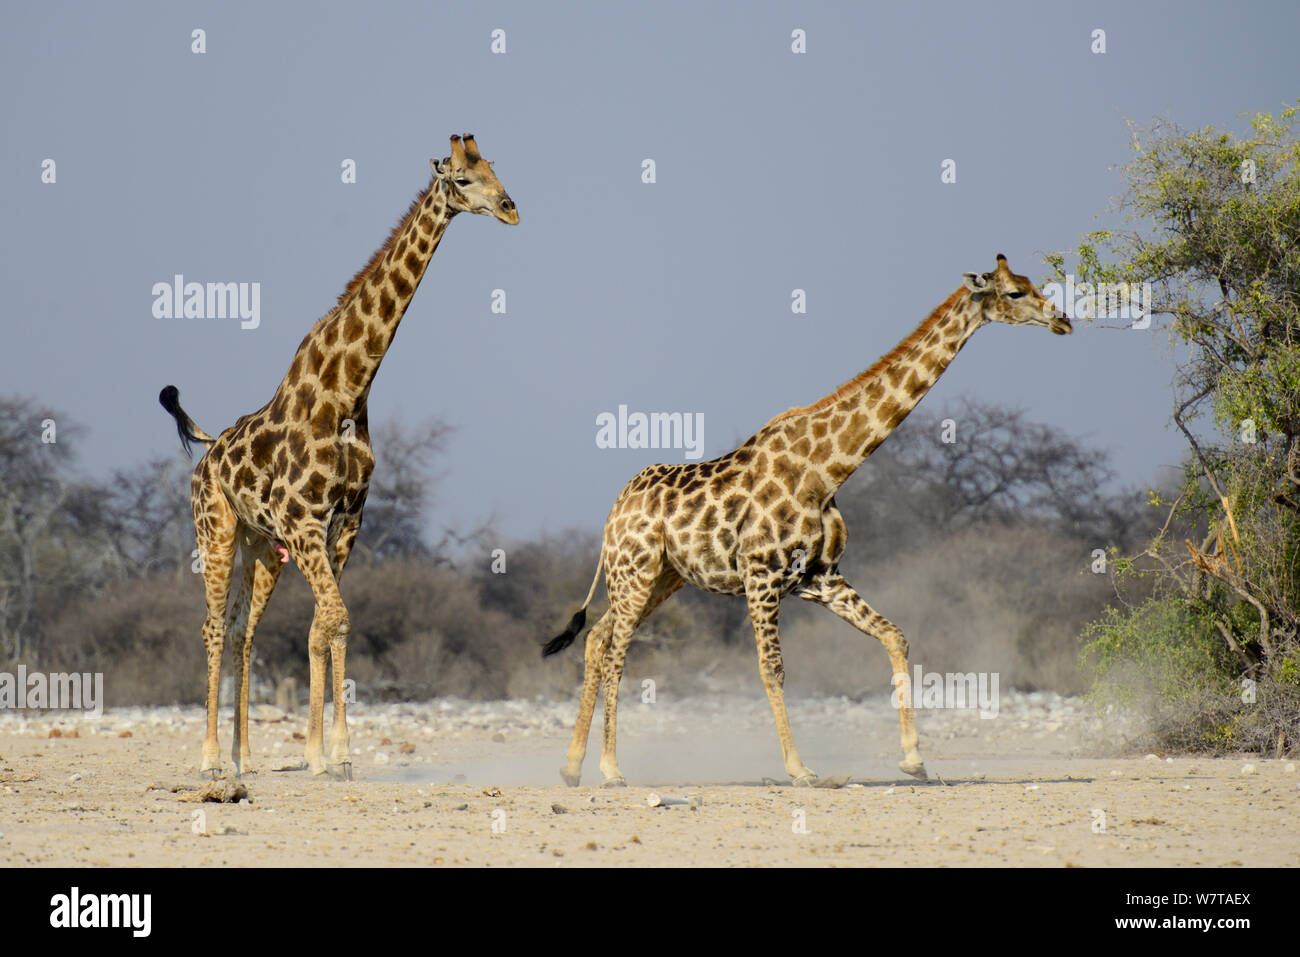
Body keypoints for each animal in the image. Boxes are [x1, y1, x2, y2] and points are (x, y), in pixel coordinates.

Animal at [165, 132, 520, 780]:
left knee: (242, 630)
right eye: (461, 178)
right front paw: (325, 754)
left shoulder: (345, 521)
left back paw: (245, 757)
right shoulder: (305, 519)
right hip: (216, 529)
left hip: (262, 546)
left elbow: (326, 626)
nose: (510, 208)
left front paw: (332, 754)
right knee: (211, 626)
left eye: (493, 167)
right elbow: (334, 619)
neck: (350, 388)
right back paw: (210, 760)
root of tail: (206, 452)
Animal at [543, 252, 1071, 785]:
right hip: (634, 571)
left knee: (597, 638)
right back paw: (610, 769)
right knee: (616, 653)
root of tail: (614, 510)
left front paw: (914, 759)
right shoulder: (761, 575)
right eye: (1016, 292)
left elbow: (894, 635)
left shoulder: (819, 577)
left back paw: (571, 766)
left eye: (1032, 284)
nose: (1063, 319)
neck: (828, 470)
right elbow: (772, 668)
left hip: (661, 578)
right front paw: (800, 769)